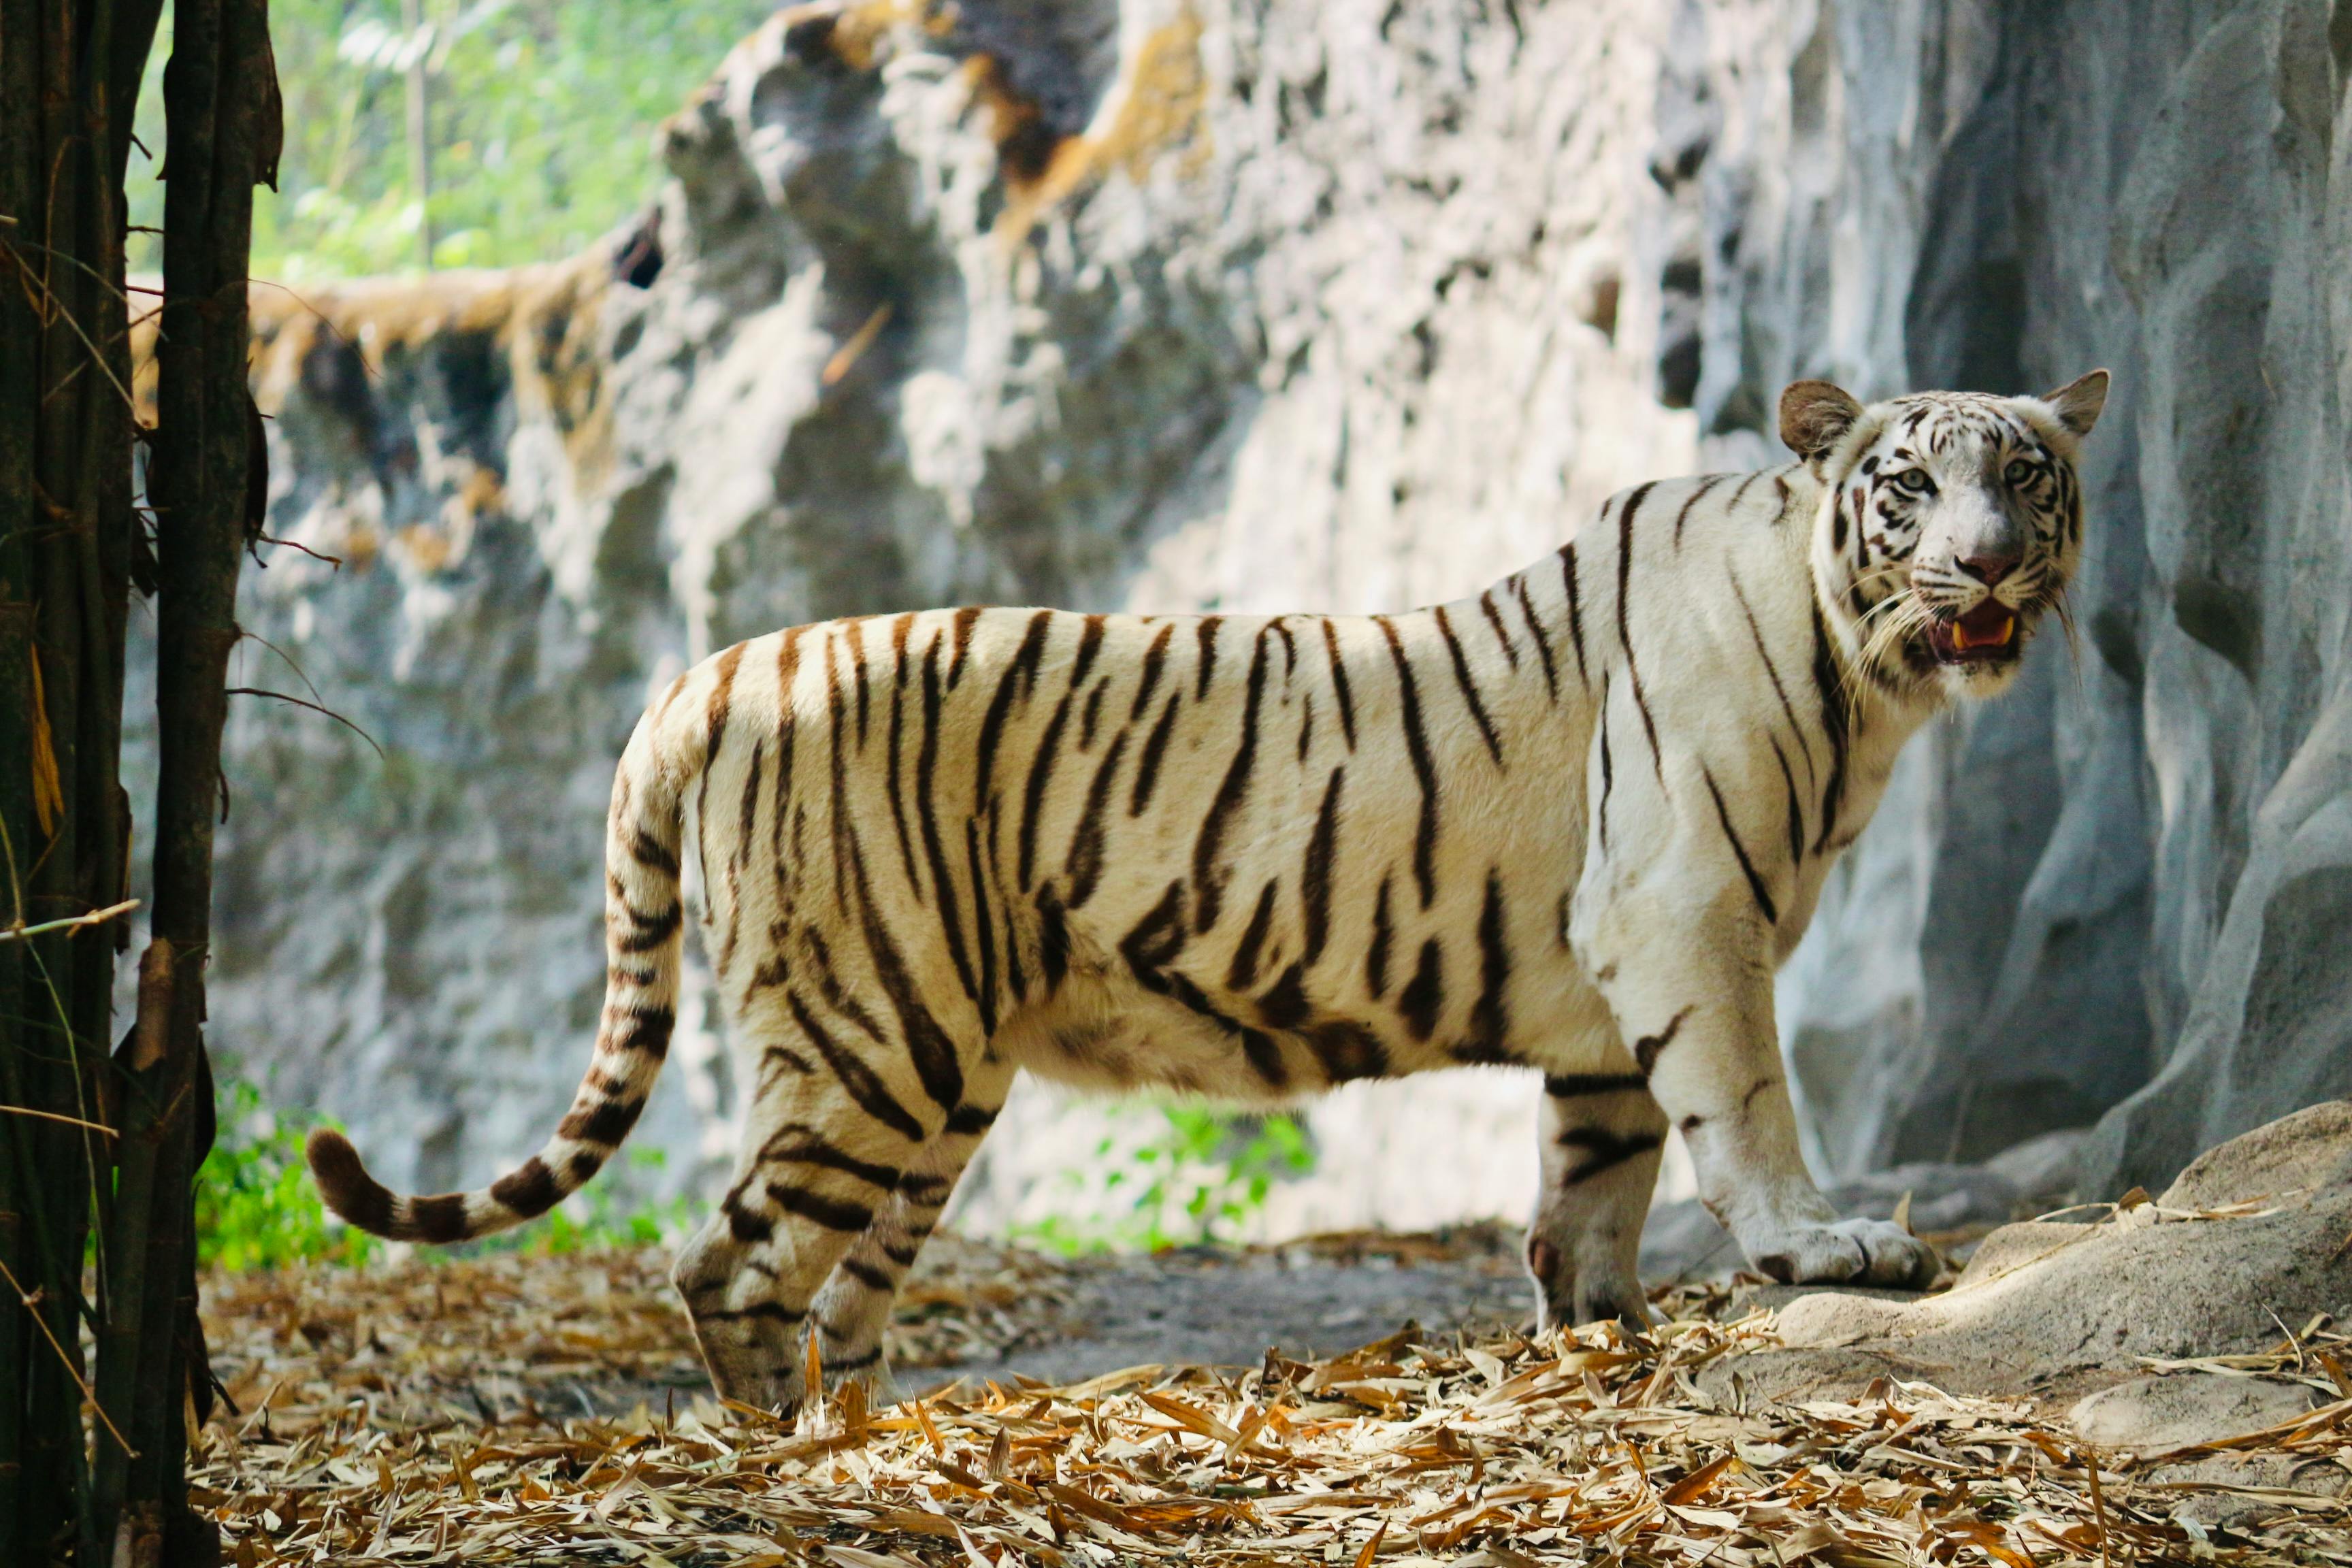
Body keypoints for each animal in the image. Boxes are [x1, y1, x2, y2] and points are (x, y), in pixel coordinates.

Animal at [308, 370, 2110, 1411]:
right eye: (1913, 487)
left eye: (2027, 477)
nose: (1988, 564)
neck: (1860, 667)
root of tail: (715, 668)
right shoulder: (1682, 914)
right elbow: (1740, 1110)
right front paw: (1826, 1251)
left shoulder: (1606, 999)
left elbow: (1592, 1182)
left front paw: (1598, 1331)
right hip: (865, 1043)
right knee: (729, 1270)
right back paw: (776, 1466)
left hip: (939, 1082)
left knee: (844, 1297)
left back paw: (867, 1453)